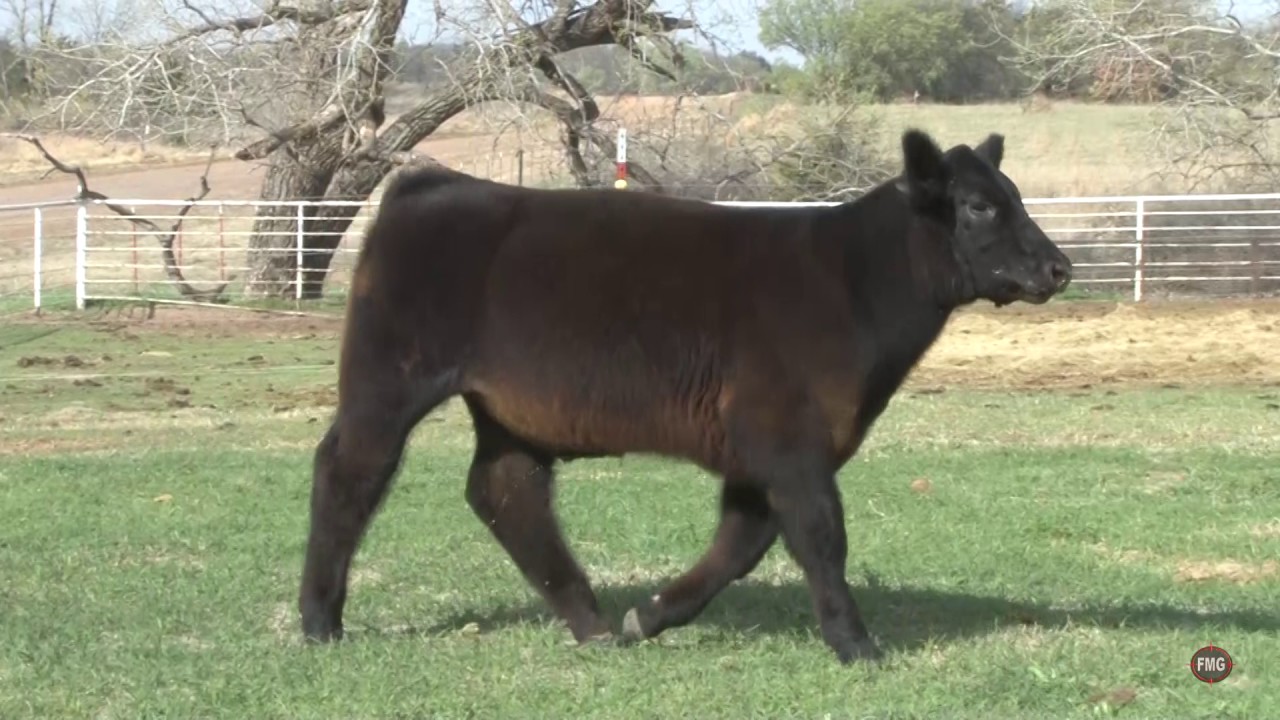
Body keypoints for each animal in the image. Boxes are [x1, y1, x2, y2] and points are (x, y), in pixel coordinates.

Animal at [297, 128, 1073, 665]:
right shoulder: (787, 435)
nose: (1059, 268)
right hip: (386, 381)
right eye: (979, 205)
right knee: (350, 472)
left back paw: (594, 623)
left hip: (507, 409)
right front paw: (857, 643)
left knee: (506, 490)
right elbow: (820, 535)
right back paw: (318, 622)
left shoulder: (760, 450)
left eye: (1016, 196)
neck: (852, 280)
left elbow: (741, 545)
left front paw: (652, 615)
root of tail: (433, 183)